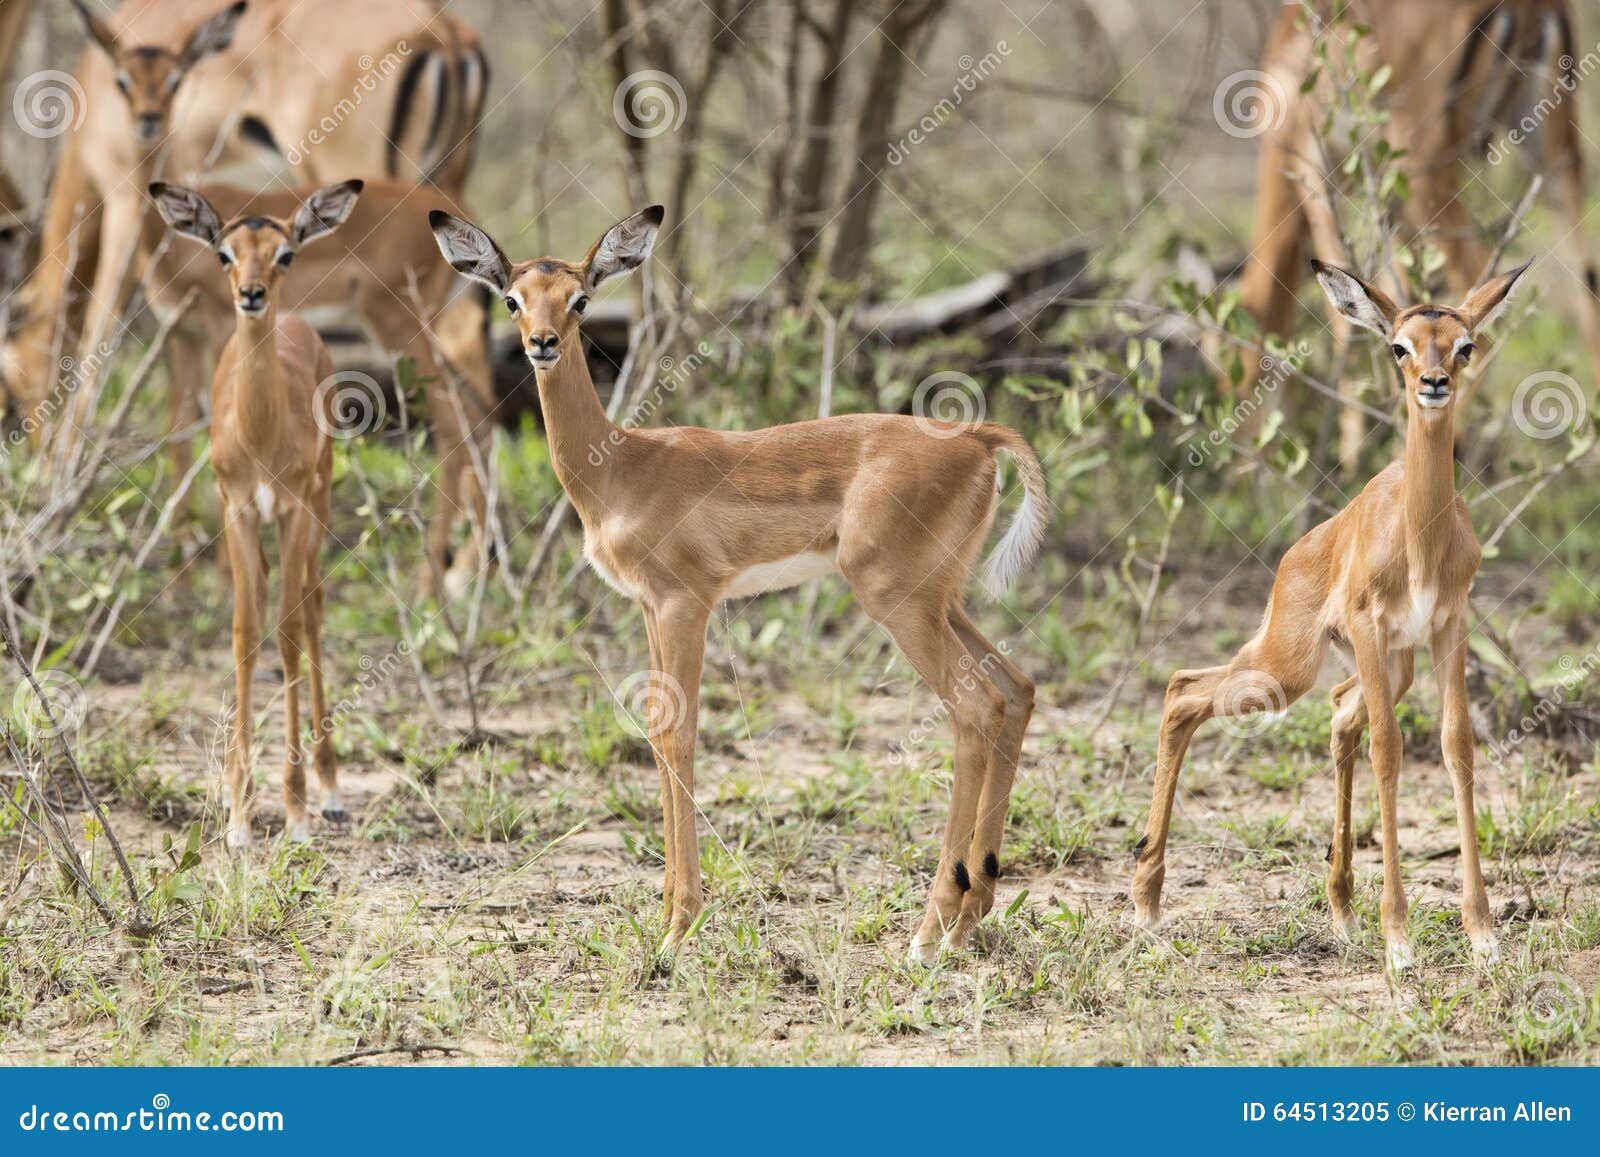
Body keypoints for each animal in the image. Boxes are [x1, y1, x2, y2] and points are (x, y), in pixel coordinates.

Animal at [148, 178, 364, 848]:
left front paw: (293, 808)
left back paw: (331, 791)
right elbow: (245, 633)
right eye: (224, 252)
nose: (252, 294)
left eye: (285, 253)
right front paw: (240, 814)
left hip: (319, 508)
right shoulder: (236, 509)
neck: (261, 431)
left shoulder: (292, 511)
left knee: (312, 609)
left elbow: (288, 633)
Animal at [431, 206, 1049, 958]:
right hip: (943, 600)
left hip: (900, 603)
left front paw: (680, 926)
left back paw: (930, 931)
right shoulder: (649, 608)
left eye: (579, 299)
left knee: (974, 707)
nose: (543, 344)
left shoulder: (685, 602)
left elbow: (678, 732)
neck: (621, 469)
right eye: (513, 299)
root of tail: (977, 439)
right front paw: (668, 915)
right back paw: (971, 914)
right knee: (1016, 689)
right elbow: (657, 730)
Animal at [1135, 257, 1530, 974]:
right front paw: (1399, 941)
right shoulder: (1374, 628)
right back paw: (1146, 903)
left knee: (1340, 713)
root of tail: (1298, 550)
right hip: (1284, 668)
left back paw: (1343, 910)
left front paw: (1483, 933)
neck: (1420, 537)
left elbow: (1457, 745)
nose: (1433, 383)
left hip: (1390, 667)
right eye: (1399, 345)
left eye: (1464, 345)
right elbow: (1388, 750)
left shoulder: (1448, 628)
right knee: (1183, 692)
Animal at [1227, 0, 1597, 470]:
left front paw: (1353, 465)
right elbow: (1397, 303)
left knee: (1479, 304)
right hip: (1555, 160)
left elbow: (1345, 320)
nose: (1236, 467)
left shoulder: (1315, 176)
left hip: (1428, 172)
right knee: (1588, 295)